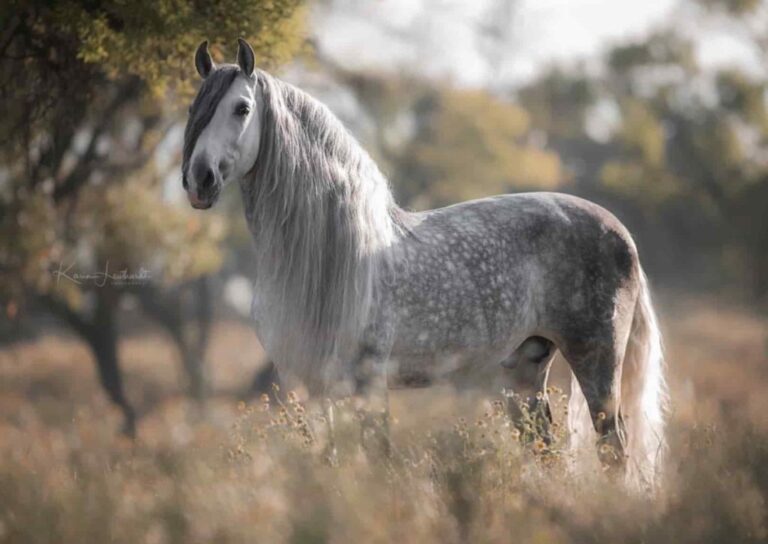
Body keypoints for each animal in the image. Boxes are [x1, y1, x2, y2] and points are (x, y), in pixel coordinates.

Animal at [182, 39, 668, 488]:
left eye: (242, 108)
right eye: (195, 108)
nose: (198, 181)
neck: (330, 257)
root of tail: (620, 232)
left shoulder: (367, 383)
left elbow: (377, 461)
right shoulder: (310, 384)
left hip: (596, 360)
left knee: (614, 448)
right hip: (524, 371)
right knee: (547, 450)